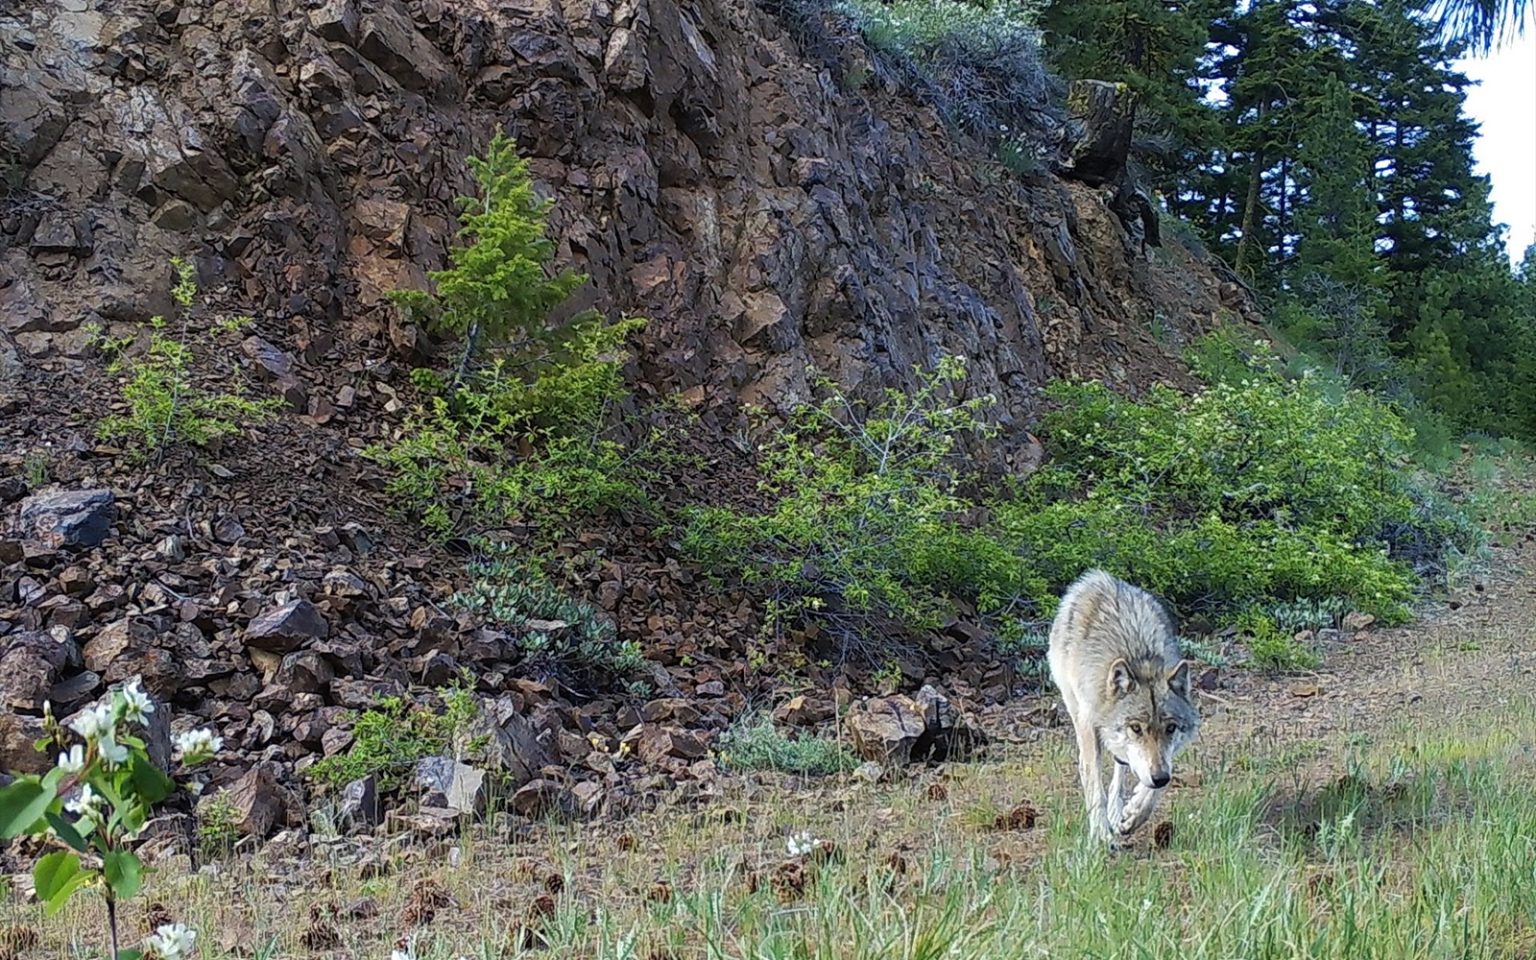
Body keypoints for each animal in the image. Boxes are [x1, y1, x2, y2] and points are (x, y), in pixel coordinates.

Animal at [1047, 569, 1200, 844]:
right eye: (1136, 728)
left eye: (1171, 728)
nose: (1159, 778)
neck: (1141, 660)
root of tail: (1097, 577)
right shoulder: (1089, 728)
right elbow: (1095, 785)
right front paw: (1100, 834)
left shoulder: (1164, 762)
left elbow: (1155, 786)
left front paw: (1133, 814)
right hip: (1074, 706)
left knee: (1122, 766)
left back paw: (1119, 810)